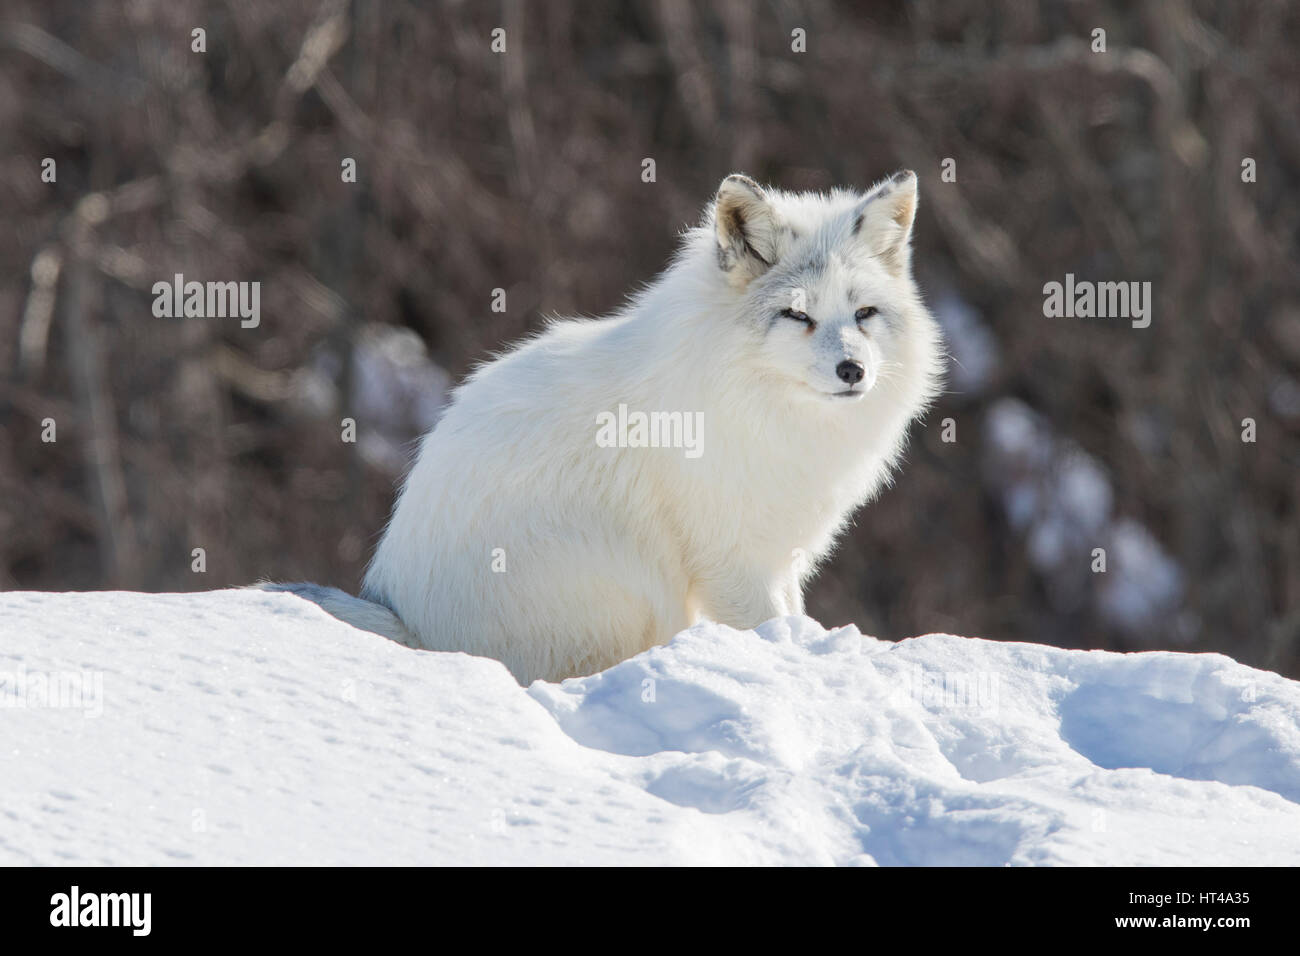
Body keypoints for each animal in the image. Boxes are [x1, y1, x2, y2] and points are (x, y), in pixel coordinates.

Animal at [266, 171, 944, 683]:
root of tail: (404, 616)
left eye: (864, 313)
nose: (853, 370)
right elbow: (768, 630)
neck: (767, 413)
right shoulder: (732, 562)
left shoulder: (782, 556)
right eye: (796, 315)